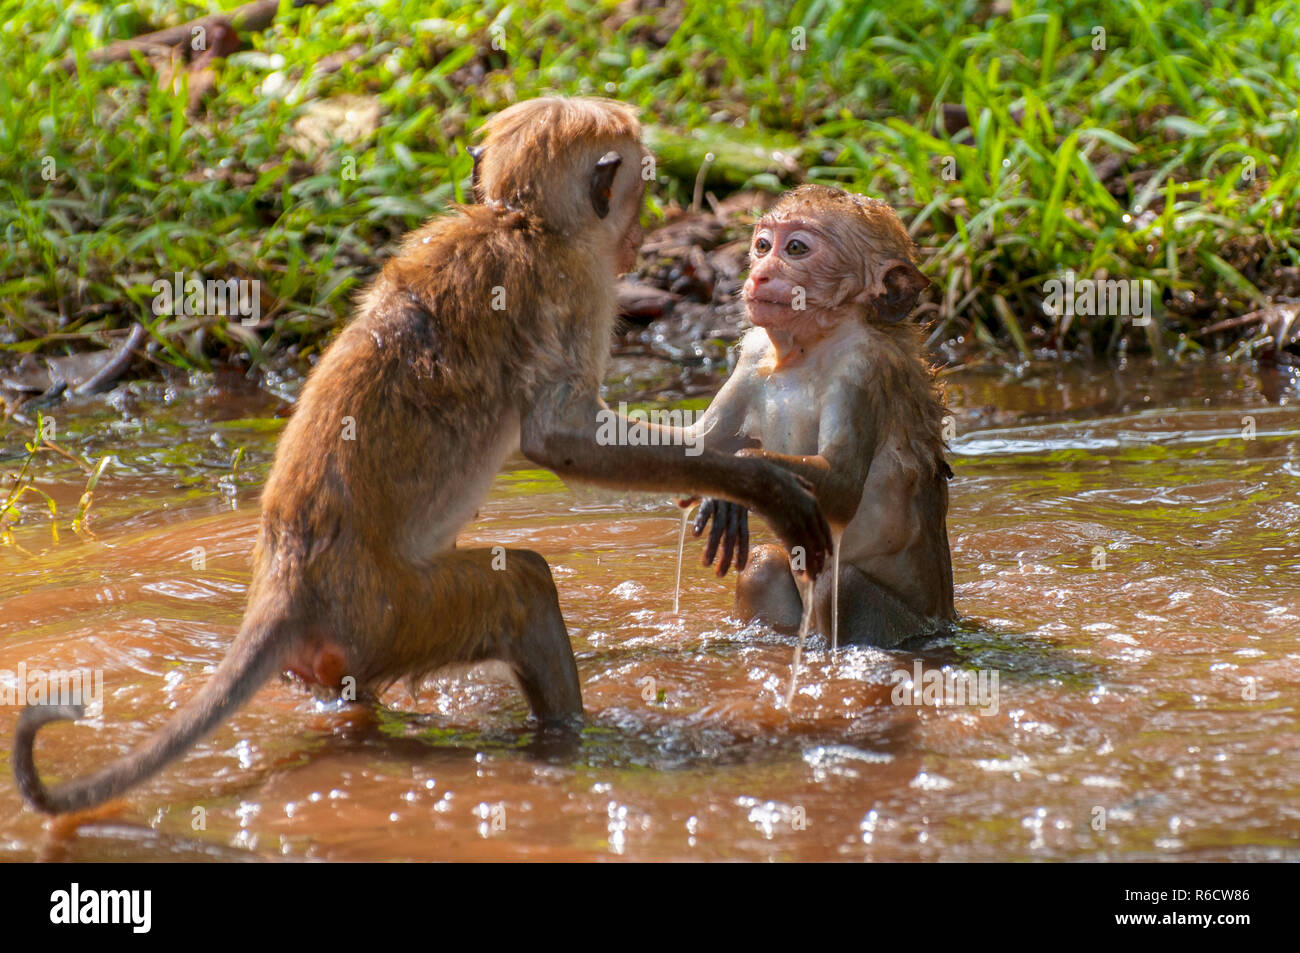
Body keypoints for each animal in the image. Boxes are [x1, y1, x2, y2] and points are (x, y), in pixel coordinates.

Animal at [13, 97, 831, 815]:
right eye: (635, 190)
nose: (641, 236)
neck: (521, 219)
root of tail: (287, 582)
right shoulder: (574, 284)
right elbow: (558, 440)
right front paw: (753, 480)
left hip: (354, 639)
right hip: (392, 612)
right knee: (521, 586)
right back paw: (570, 736)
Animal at [686, 184, 955, 648]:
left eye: (796, 249)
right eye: (762, 246)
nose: (759, 275)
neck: (808, 348)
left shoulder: (861, 368)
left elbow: (843, 483)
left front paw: (741, 476)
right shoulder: (755, 353)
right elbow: (692, 443)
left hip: (907, 623)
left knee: (838, 583)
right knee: (762, 566)